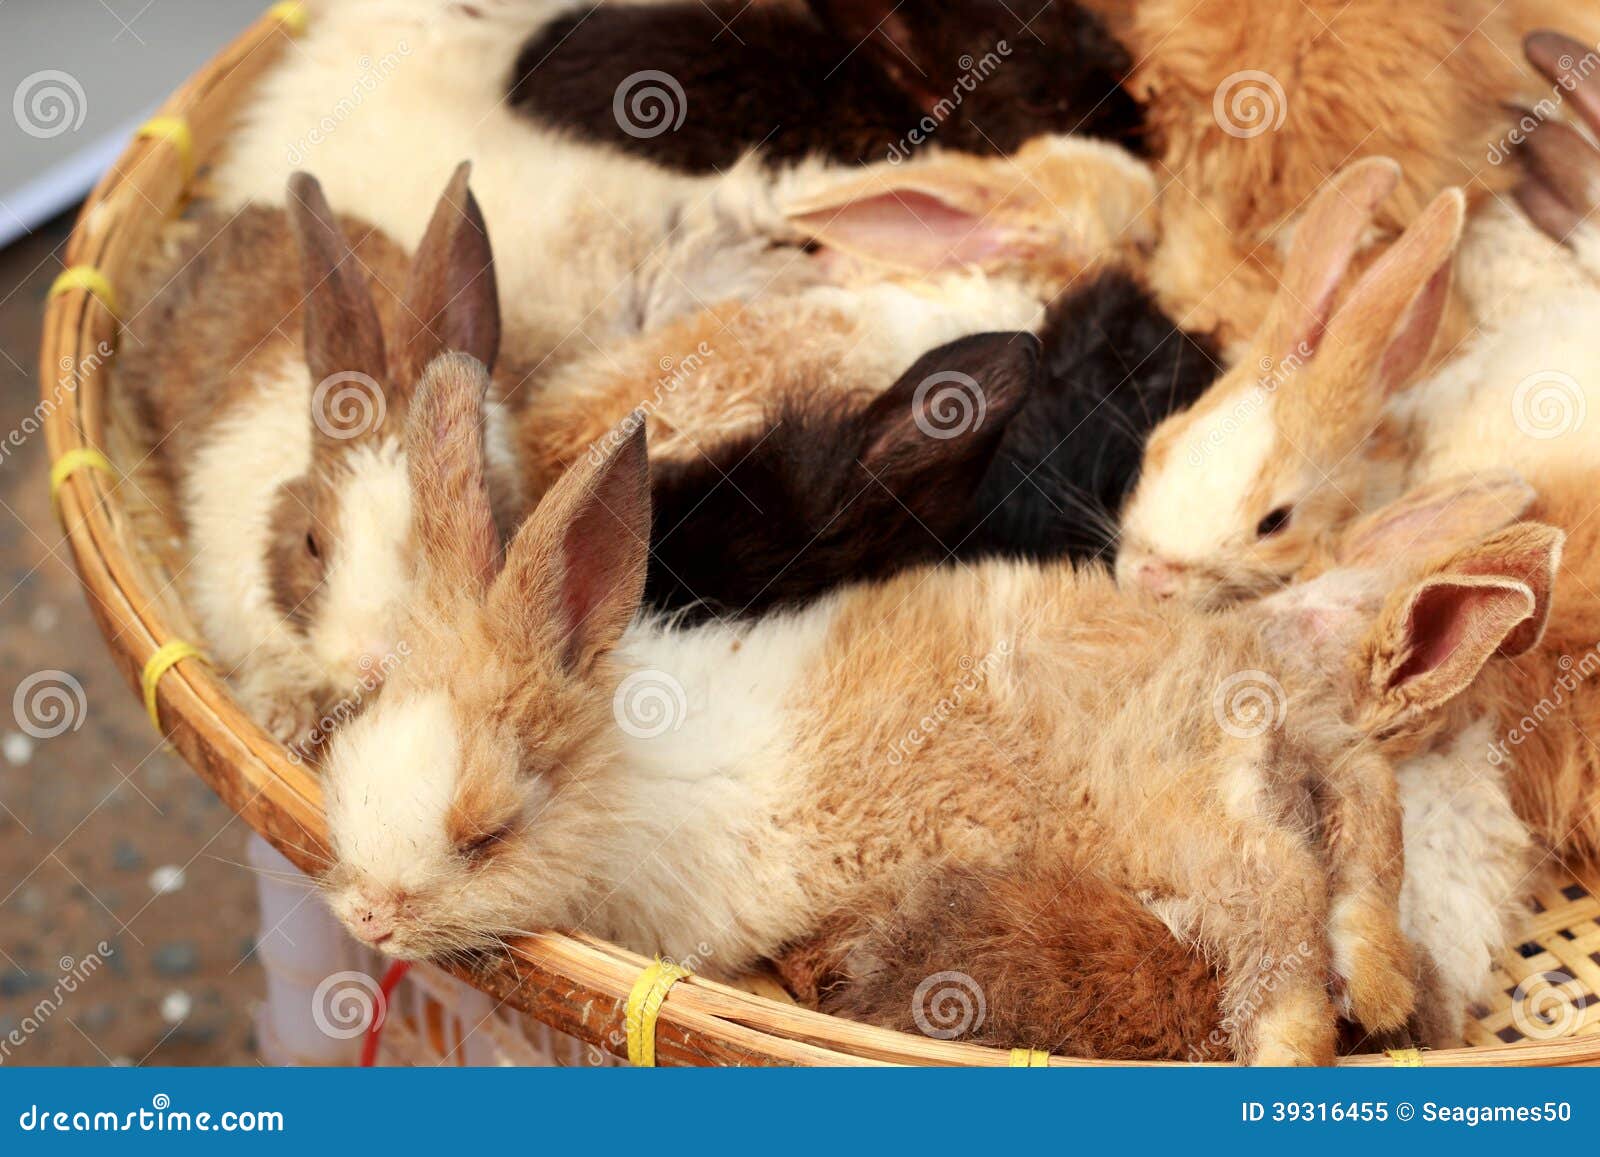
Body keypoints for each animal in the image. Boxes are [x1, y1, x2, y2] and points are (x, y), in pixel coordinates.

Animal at [318, 364, 1559, 1062]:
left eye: (486, 832)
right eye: (343, 752)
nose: (367, 915)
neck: (622, 779)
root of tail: (1272, 686)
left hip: (1177, 817)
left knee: (1277, 890)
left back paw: (1289, 1046)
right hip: (1280, 792)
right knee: (1353, 843)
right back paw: (1376, 975)